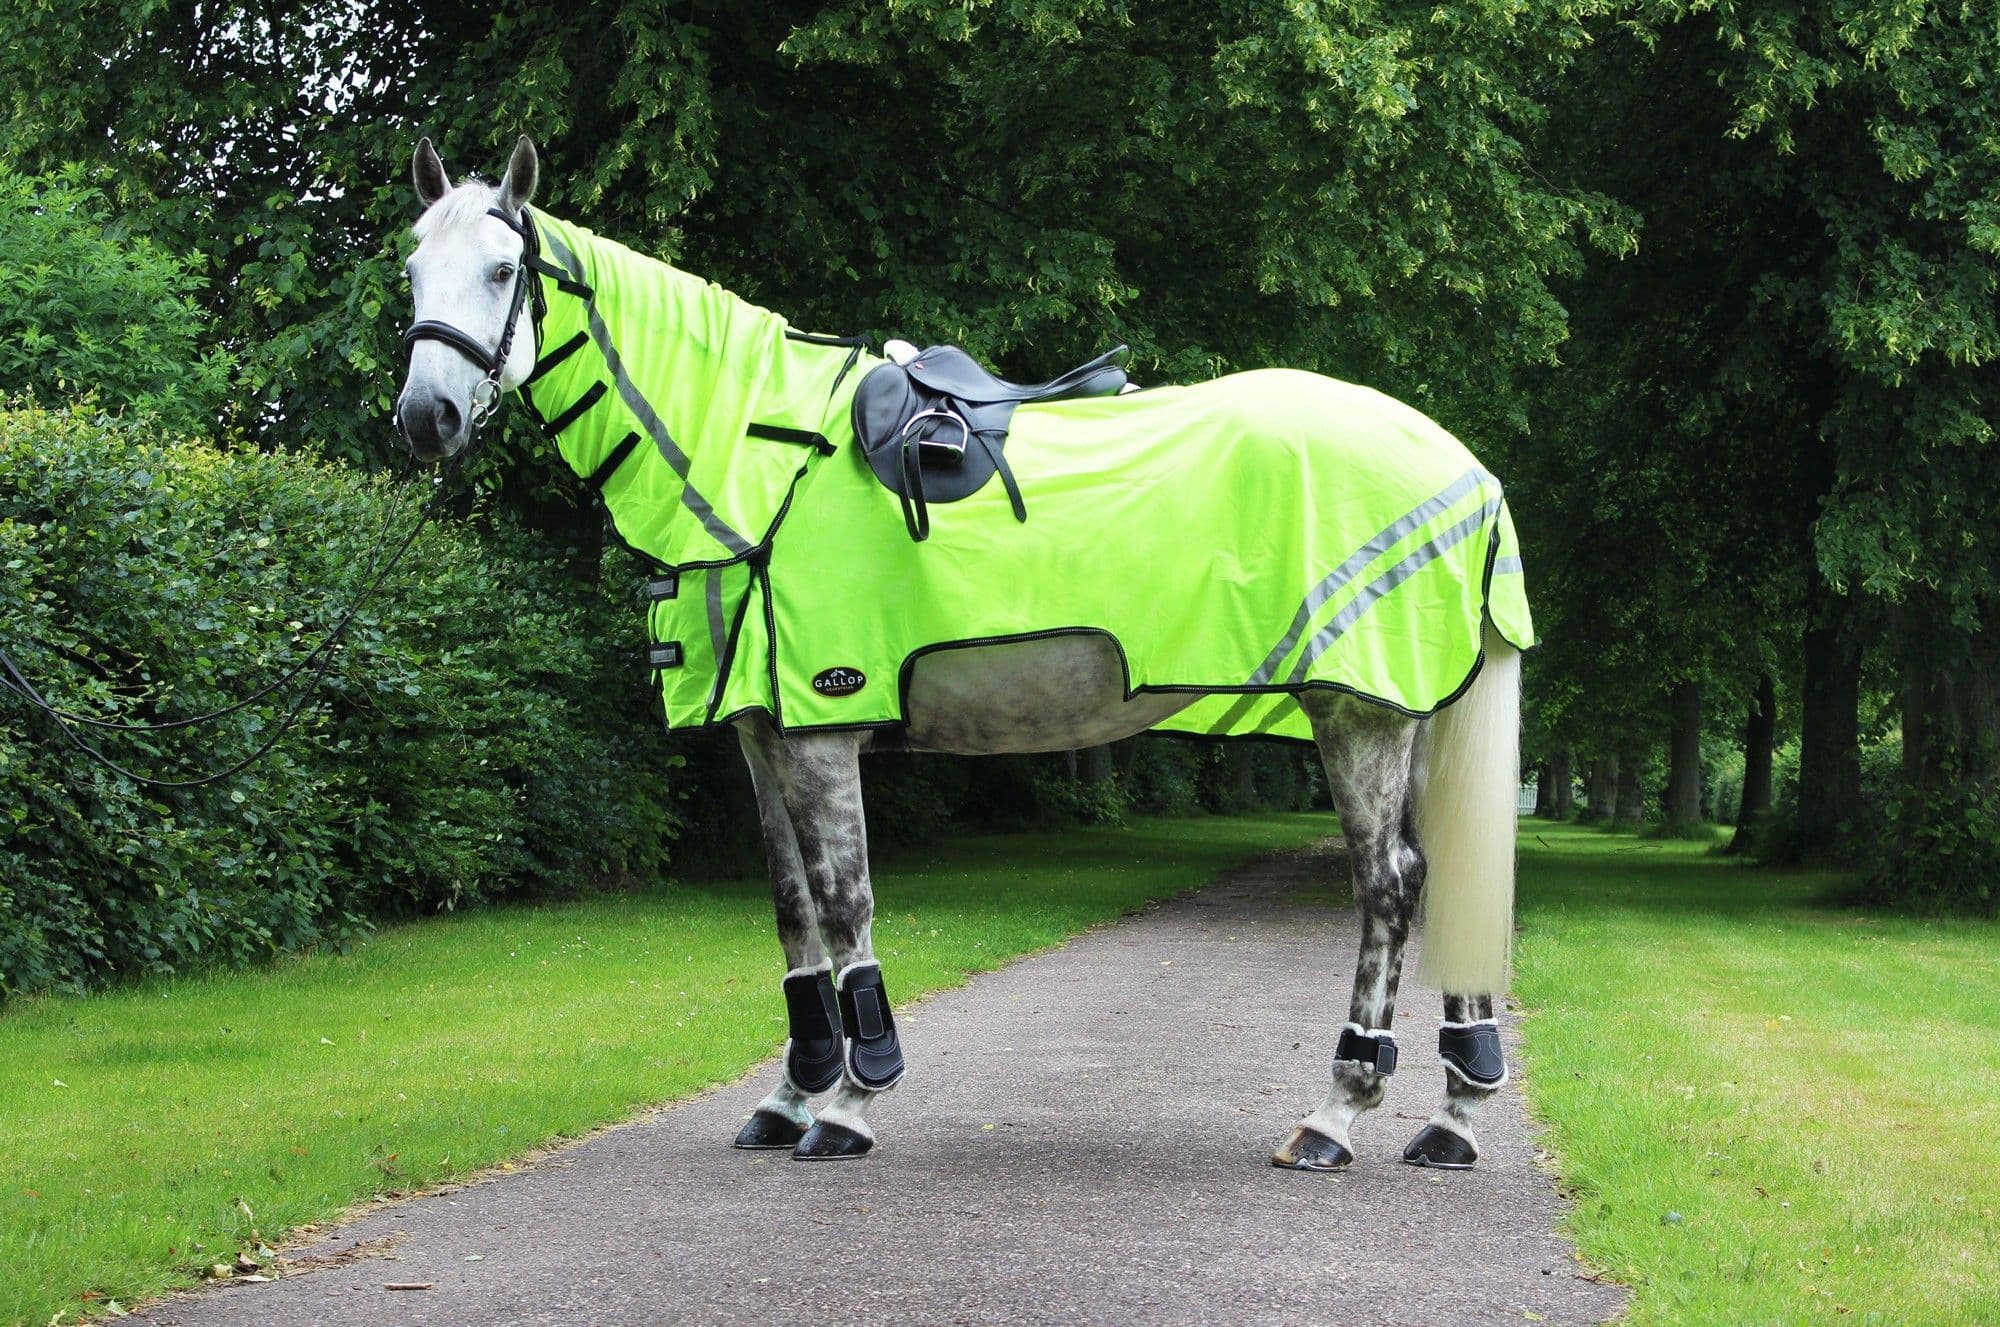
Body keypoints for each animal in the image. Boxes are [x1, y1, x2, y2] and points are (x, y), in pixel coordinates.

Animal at [394, 135, 1528, 1171]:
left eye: (501, 270)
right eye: (410, 267)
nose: (425, 417)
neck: (754, 451)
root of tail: (1464, 467)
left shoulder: (825, 724)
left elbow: (845, 903)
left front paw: (851, 1102)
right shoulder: (763, 731)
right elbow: (793, 911)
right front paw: (788, 1097)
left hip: (1359, 713)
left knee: (1390, 886)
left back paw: (1338, 1112)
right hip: (1409, 722)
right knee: (1437, 879)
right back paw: (1450, 1117)